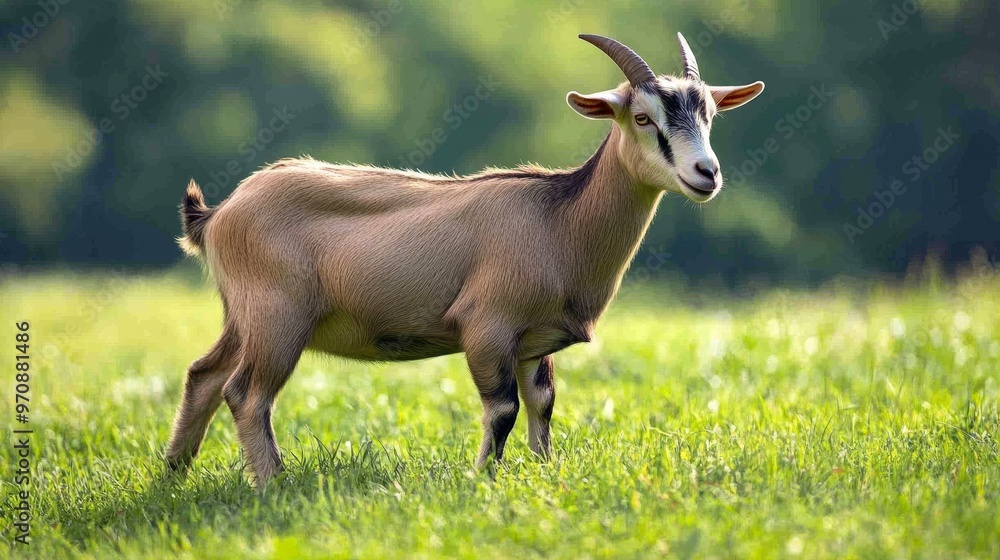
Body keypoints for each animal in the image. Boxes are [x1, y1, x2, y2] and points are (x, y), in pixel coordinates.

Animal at [167, 33, 765, 483]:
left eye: (710, 114)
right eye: (642, 118)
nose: (706, 174)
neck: (559, 221)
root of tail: (219, 214)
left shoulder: (532, 342)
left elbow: (543, 404)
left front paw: (543, 475)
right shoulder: (487, 327)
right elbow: (503, 409)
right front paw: (482, 480)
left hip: (243, 318)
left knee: (204, 375)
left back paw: (174, 475)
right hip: (279, 319)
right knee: (246, 393)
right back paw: (273, 482)